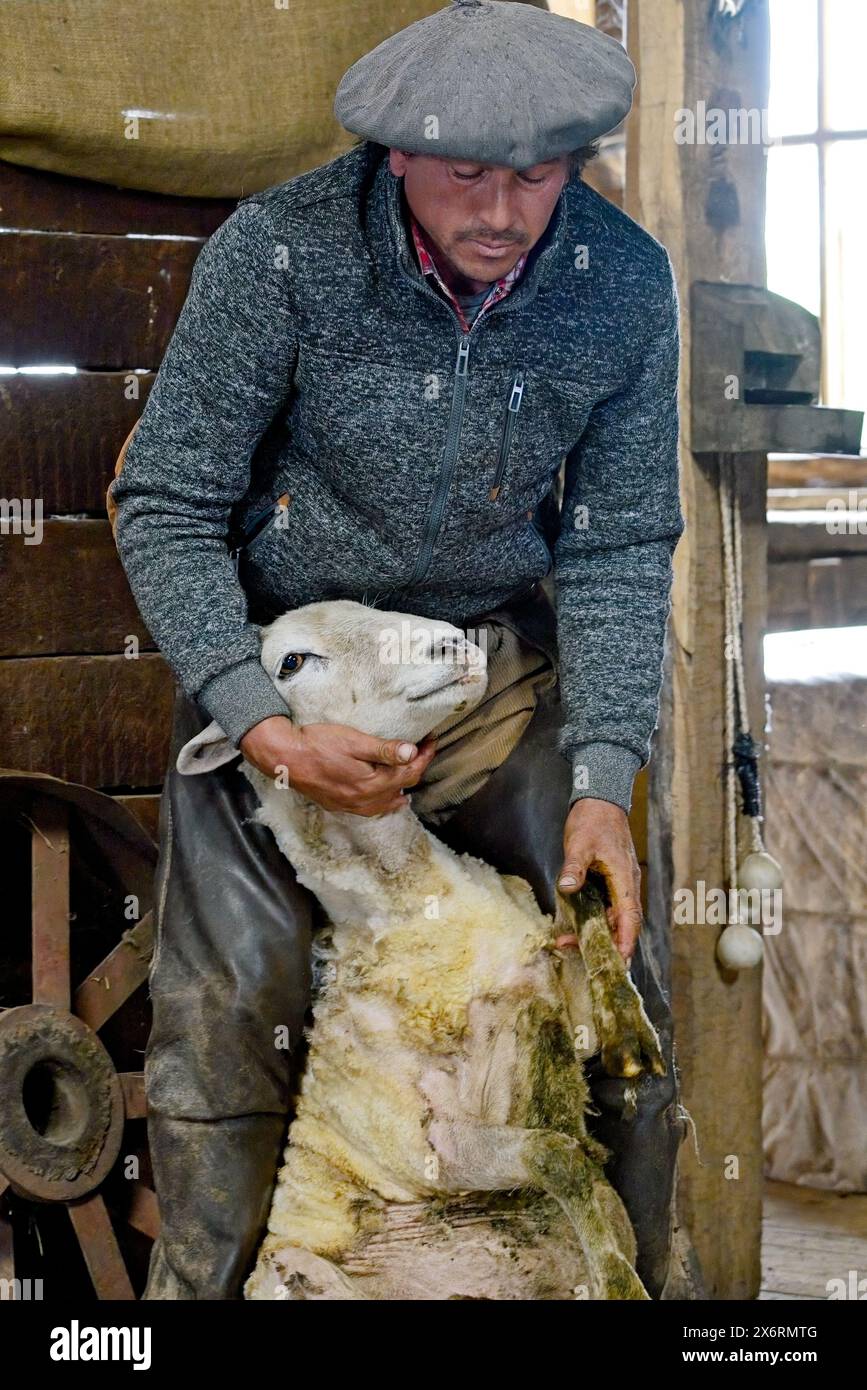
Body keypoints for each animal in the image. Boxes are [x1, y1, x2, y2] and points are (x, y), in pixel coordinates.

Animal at [176, 599, 665, 1300]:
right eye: (292, 662)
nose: (450, 644)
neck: (415, 902)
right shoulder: (435, 1147)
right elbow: (558, 1155)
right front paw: (620, 1282)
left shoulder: (556, 1002)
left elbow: (586, 902)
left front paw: (633, 1032)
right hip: (289, 1267)